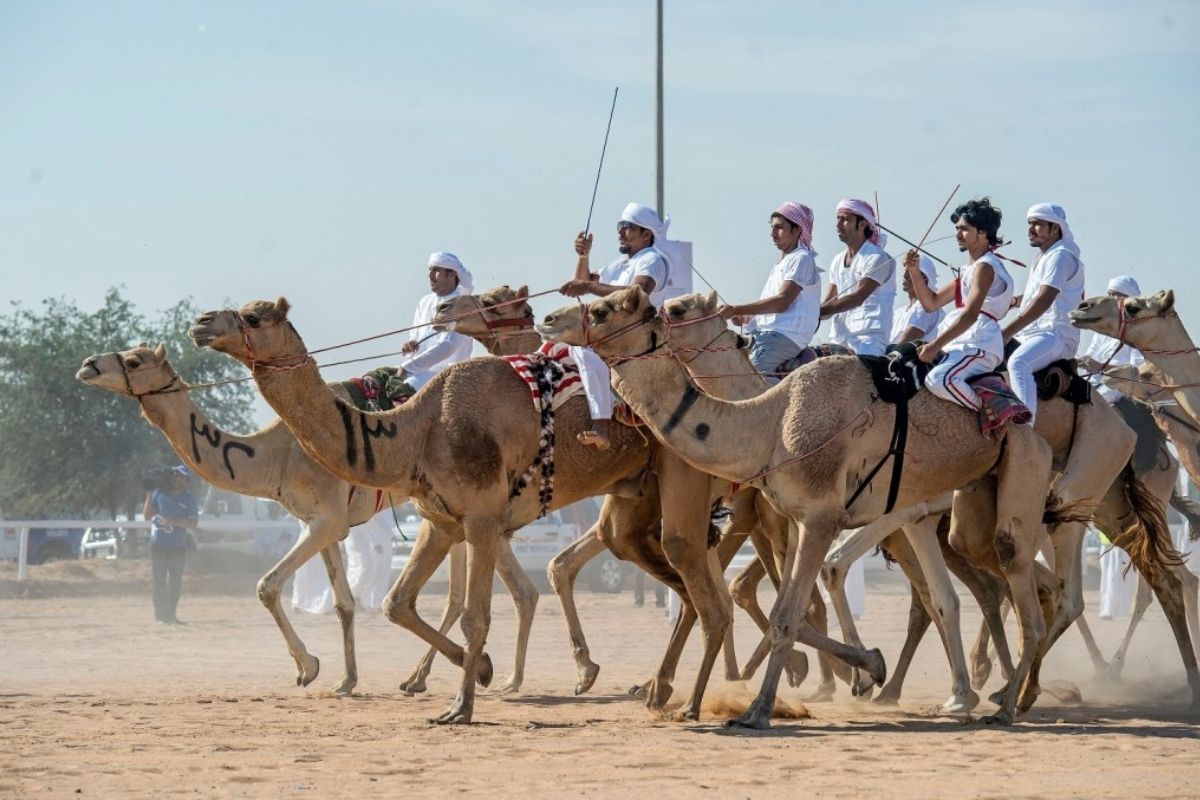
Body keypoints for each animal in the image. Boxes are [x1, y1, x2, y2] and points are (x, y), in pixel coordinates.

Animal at [188, 297, 748, 725]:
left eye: (254, 315)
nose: (201, 322)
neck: (418, 428)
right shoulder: (440, 520)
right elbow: (397, 602)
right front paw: (478, 673)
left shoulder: (479, 517)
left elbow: (475, 616)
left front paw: (460, 706)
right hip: (635, 497)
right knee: (677, 580)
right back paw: (660, 689)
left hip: (684, 472)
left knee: (702, 585)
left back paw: (695, 702)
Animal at [538, 286, 1062, 728]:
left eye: (604, 310)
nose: (547, 319)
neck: (769, 422)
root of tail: (1029, 417)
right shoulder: (790, 517)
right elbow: (782, 609)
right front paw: (861, 669)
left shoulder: (819, 518)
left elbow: (788, 615)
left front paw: (758, 709)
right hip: (958, 506)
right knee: (969, 591)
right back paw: (977, 695)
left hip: (1021, 469)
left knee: (1016, 578)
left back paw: (1007, 703)